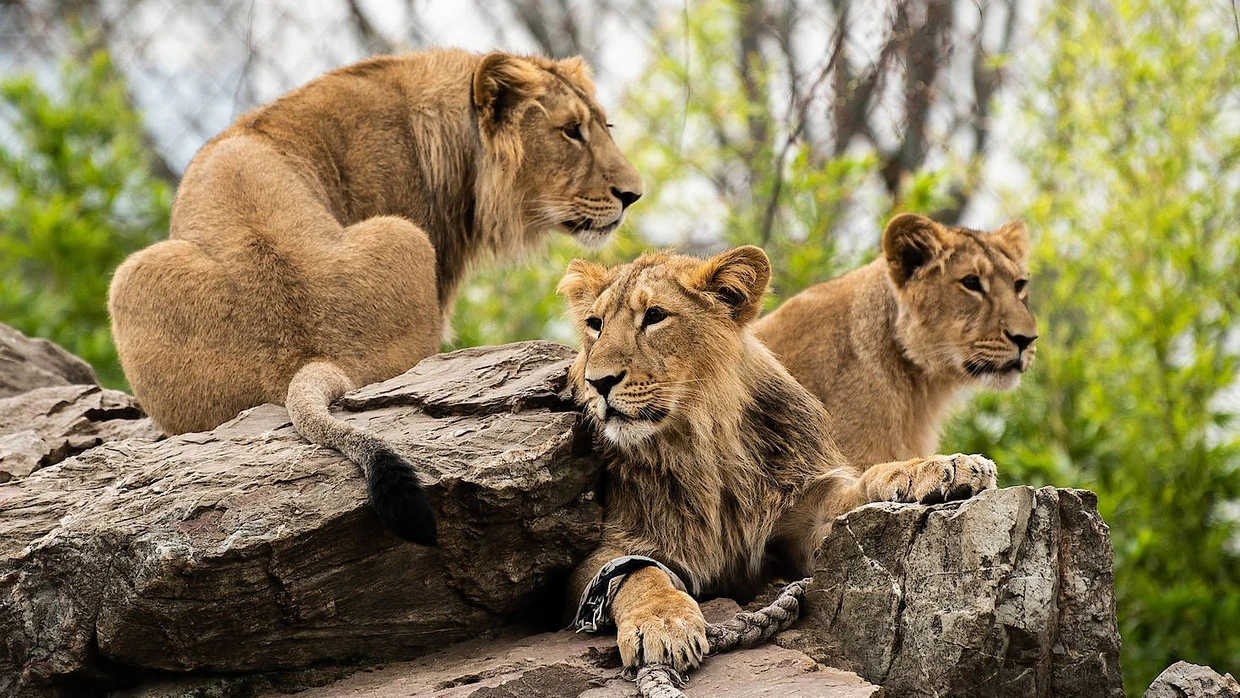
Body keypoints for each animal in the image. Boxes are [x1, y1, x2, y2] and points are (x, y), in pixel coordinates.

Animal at [556, 246, 998, 673]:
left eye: (655, 316)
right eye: (595, 323)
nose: (598, 382)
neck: (703, 443)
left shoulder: (805, 517)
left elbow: (863, 486)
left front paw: (942, 468)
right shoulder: (603, 551)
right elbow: (638, 573)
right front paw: (663, 624)